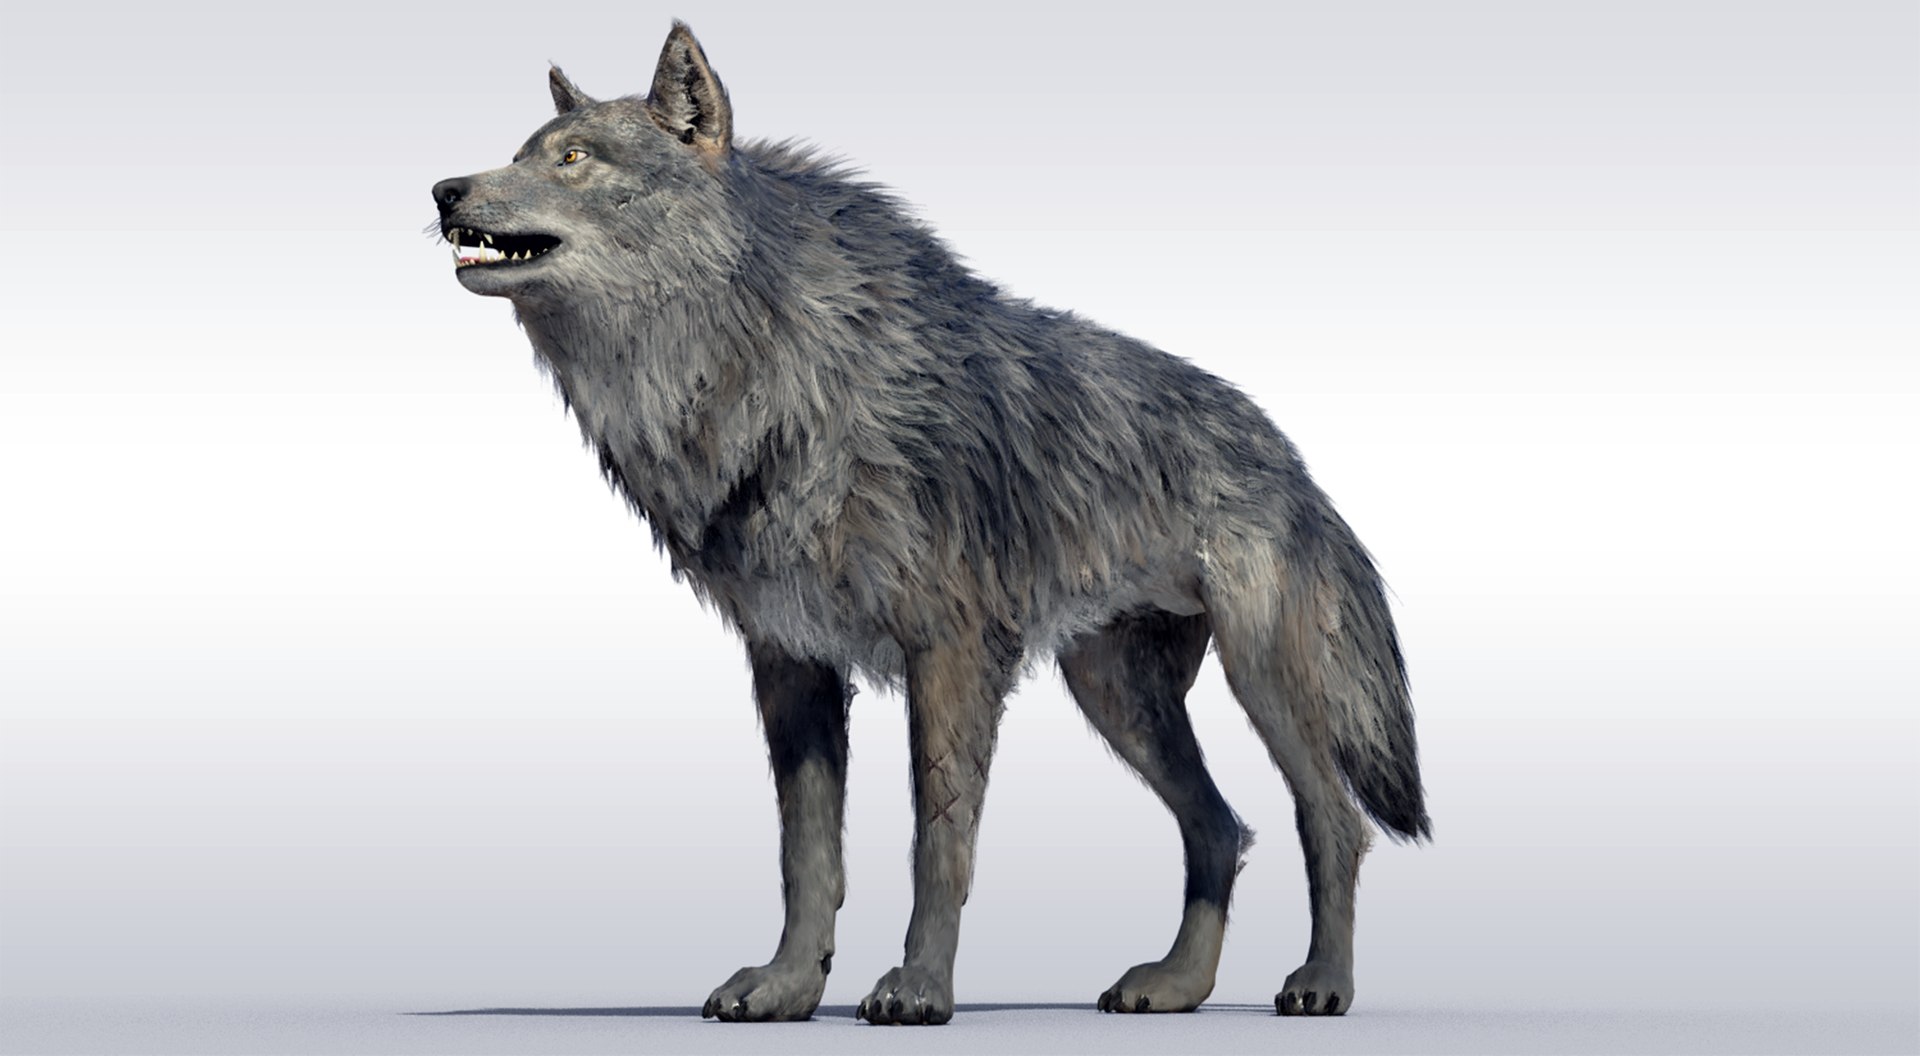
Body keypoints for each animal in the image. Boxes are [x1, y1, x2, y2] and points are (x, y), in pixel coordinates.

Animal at [430, 21, 1427, 1026]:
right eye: (523, 152)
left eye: (574, 159)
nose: (444, 191)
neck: (765, 374)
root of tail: (1288, 455)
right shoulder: (790, 659)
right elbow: (807, 854)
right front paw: (789, 987)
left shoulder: (950, 652)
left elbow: (938, 842)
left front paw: (918, 989)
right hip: (1116, 697)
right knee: (1220, 827)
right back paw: (1176, 985)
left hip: (1262, 682)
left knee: (1332, 820)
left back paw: (1322, 982)